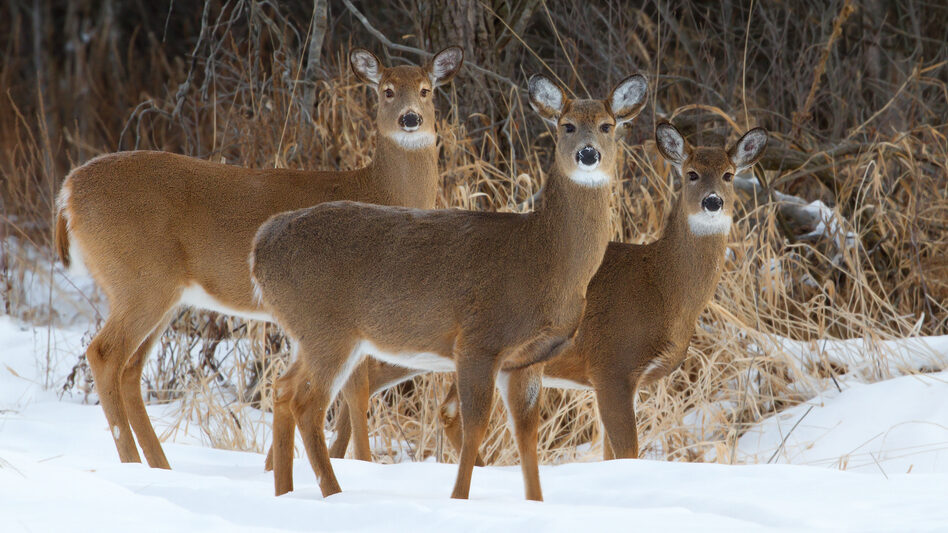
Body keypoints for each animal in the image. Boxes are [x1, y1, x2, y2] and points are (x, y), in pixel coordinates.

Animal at [53, 46, 464, 470]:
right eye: (386, 91)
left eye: (426, 89)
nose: (410, 119)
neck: (377, 190)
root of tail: (68, 191)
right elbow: (356, 391)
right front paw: (362, 465)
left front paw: (274, 466)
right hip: (139, 279)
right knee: (104, 355)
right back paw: (134, 462)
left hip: (162, 292)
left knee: (130, 369)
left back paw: (160, 465)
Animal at [249, 72, 648, 501]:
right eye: (566, 125)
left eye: (607, 126)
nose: (588, 154)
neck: (546, 260)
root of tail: (260, 246)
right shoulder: (479, 339)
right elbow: (475, 425)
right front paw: (459, 498)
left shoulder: (529, 359)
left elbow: (527, 435)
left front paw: (535, 503)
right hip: (328, 328)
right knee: (307, 403)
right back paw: (333, 493)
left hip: (307, 333)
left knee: (282, 389)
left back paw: (285, 491)